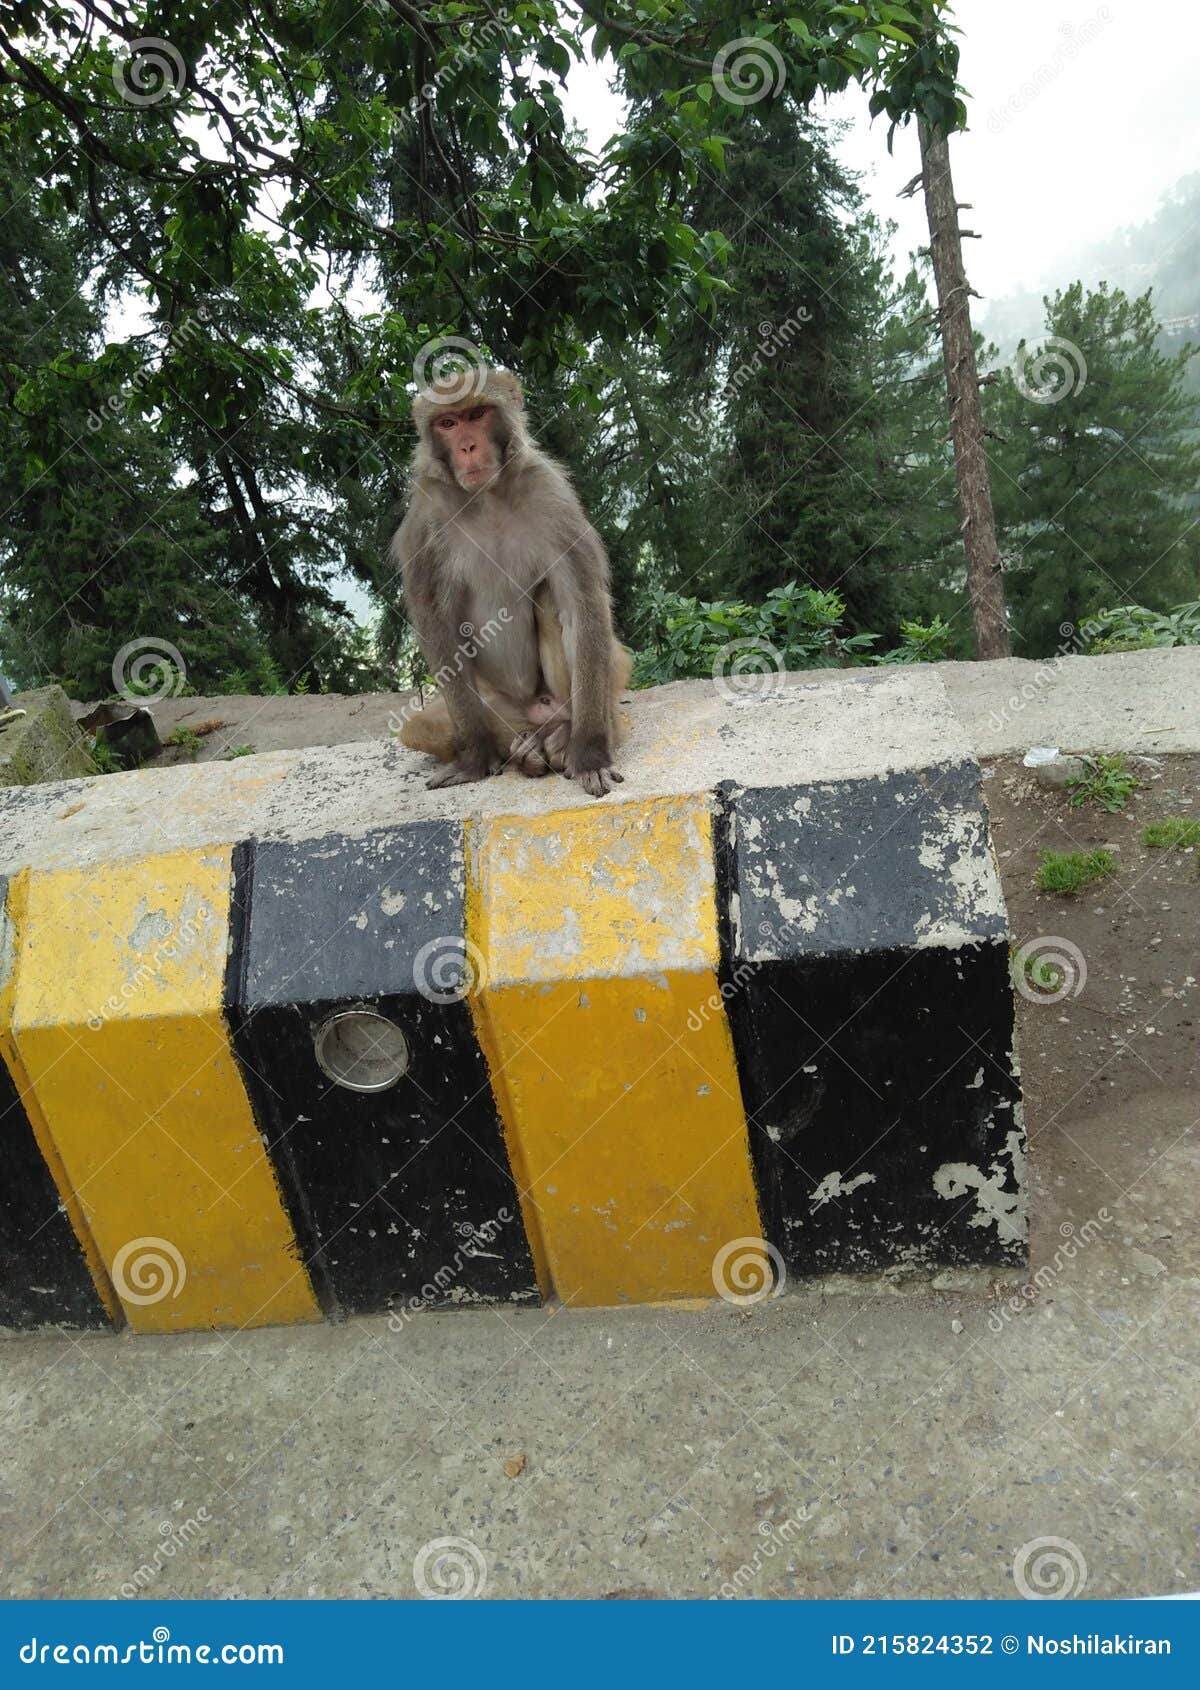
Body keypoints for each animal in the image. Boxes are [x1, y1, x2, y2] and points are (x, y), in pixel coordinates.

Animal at [390, 365, 631, 797]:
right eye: (448, 423)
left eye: (477, 415)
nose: (468, 447)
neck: (486, 497)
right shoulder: (424, 520)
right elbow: (438, 626)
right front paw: (475, 758)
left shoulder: (551, 495)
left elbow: (580, 603)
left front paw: (589, 755)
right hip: (500, 705)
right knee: (418, 727)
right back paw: (526, 749)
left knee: (556, 602)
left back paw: (563, 736)